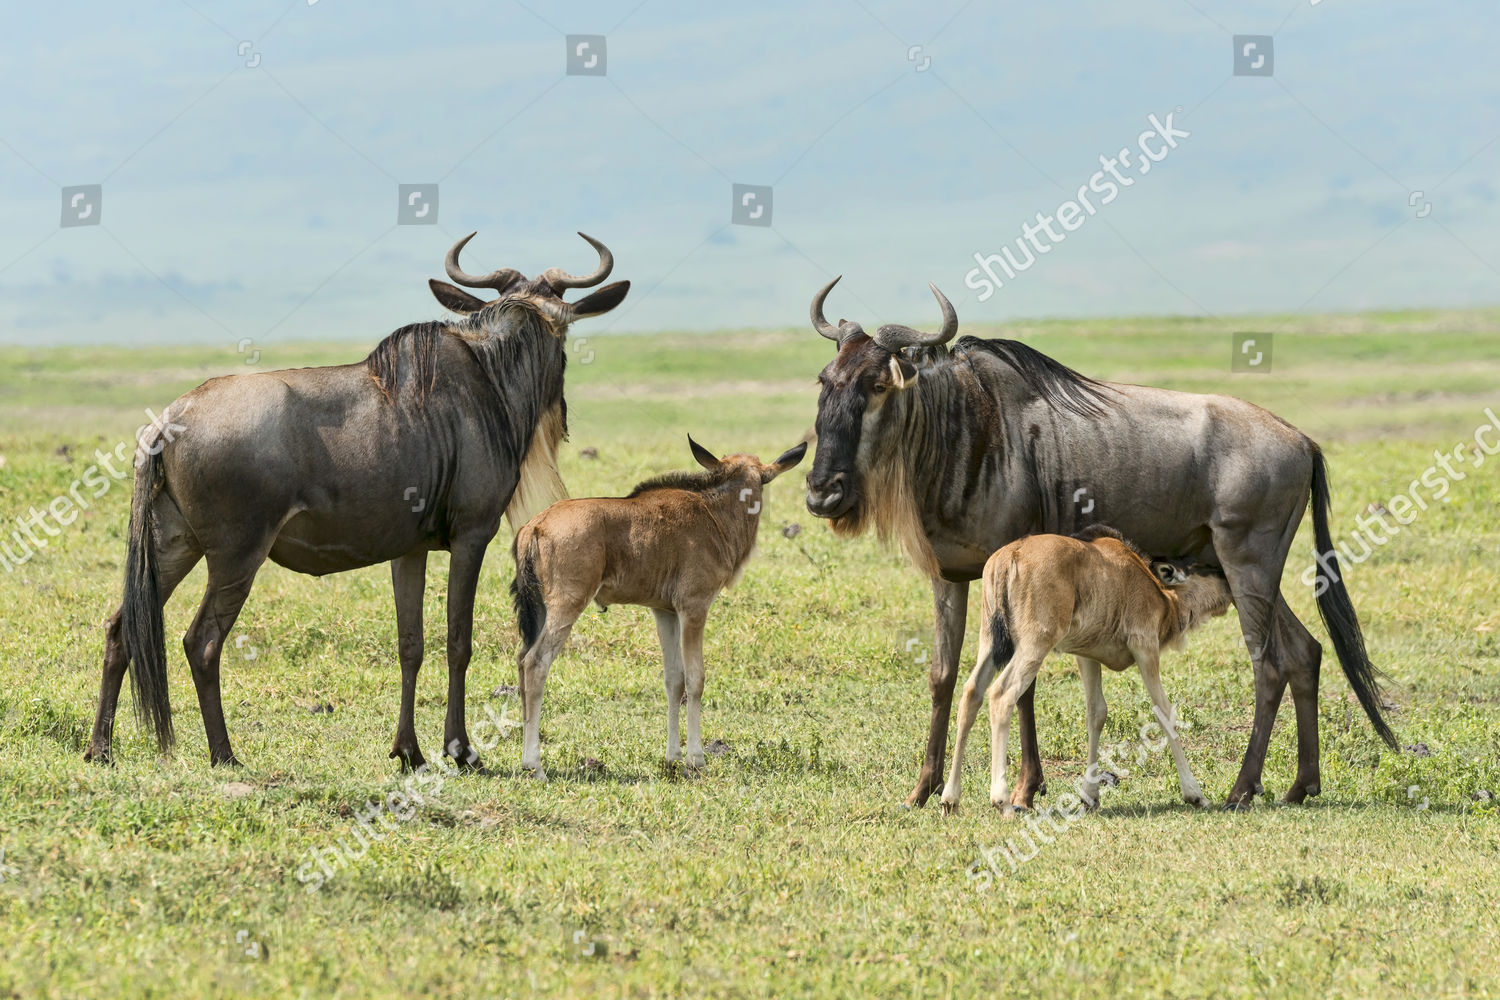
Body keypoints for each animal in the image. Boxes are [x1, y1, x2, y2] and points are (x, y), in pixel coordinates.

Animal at [83, 232, 628, 771]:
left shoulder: (409, 550)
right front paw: (460, 749)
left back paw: (100, 748)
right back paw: (224, 754)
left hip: (172, 546)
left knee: (121, 629)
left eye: (558, 323)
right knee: (201, 642)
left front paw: (408, 751)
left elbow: (411, 644)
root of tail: (168, 421)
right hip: (236, 556)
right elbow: (459, 641)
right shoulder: (473, 535)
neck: (492, 376)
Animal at [509, 436, 806, 779]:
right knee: (535, 663)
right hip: (567, 606)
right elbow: (695, 679)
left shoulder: (665, 612)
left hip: (541, 610)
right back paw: (535, 765)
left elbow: (673, 680)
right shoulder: (694, 608)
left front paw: (672, 757)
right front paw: (695, 758)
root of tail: (535, 525)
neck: (714, 513)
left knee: (521, 660)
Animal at [939, 526, 1234, 814]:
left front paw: (1090, 796)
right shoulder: (1145, 648)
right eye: (1208, 568)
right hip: (1035, 643)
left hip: (989, 642)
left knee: (971, 693)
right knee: (1001, 694)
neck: (1158, 591)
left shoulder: (1086, 656)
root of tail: (1010, 555)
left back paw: (950, 798)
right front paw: (1194, 793)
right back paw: (1001, 799)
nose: (1232, 586)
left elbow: (1097, 713)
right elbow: (1164, 713)